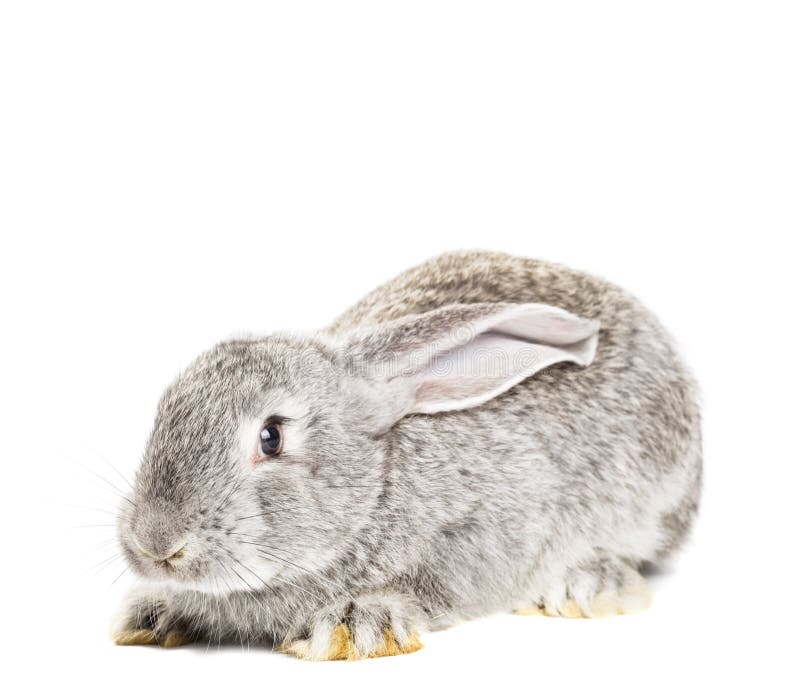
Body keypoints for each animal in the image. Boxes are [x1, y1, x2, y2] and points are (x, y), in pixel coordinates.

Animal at [112, 250, 702, 660]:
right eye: (164, 410)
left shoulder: (485, 532)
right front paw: (155, 613)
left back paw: (587, 587)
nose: (156, 544)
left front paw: (355, 624)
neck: (376, 484)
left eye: (271, 437)